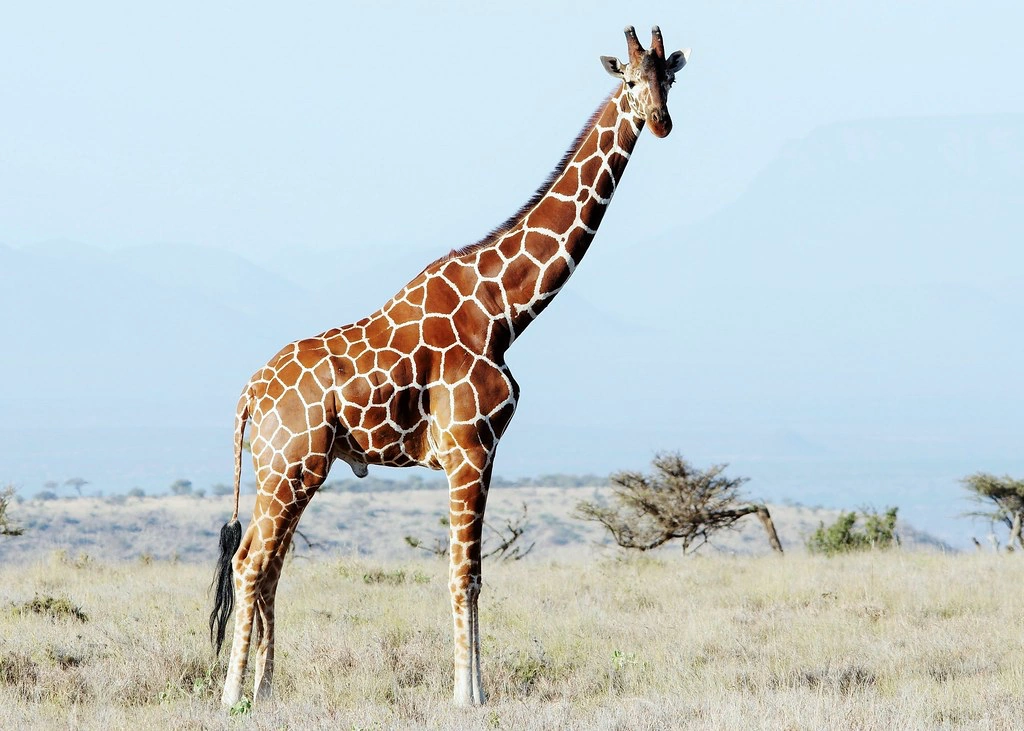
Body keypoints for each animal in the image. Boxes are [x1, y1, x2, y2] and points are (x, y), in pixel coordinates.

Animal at [209, 25, 690, 707]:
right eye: (628, 79)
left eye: (668, 78)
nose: (661, 121)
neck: (505, 310)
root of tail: (250, 393)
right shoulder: (470, 448)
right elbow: (466, 575)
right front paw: (471, 695)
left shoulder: (479, 451)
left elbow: (474, 573)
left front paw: (472, 688)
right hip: (287, 467)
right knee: (252, 562)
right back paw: (233, 696)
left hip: (295, 471)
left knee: (265, 561)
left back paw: (268, 689)